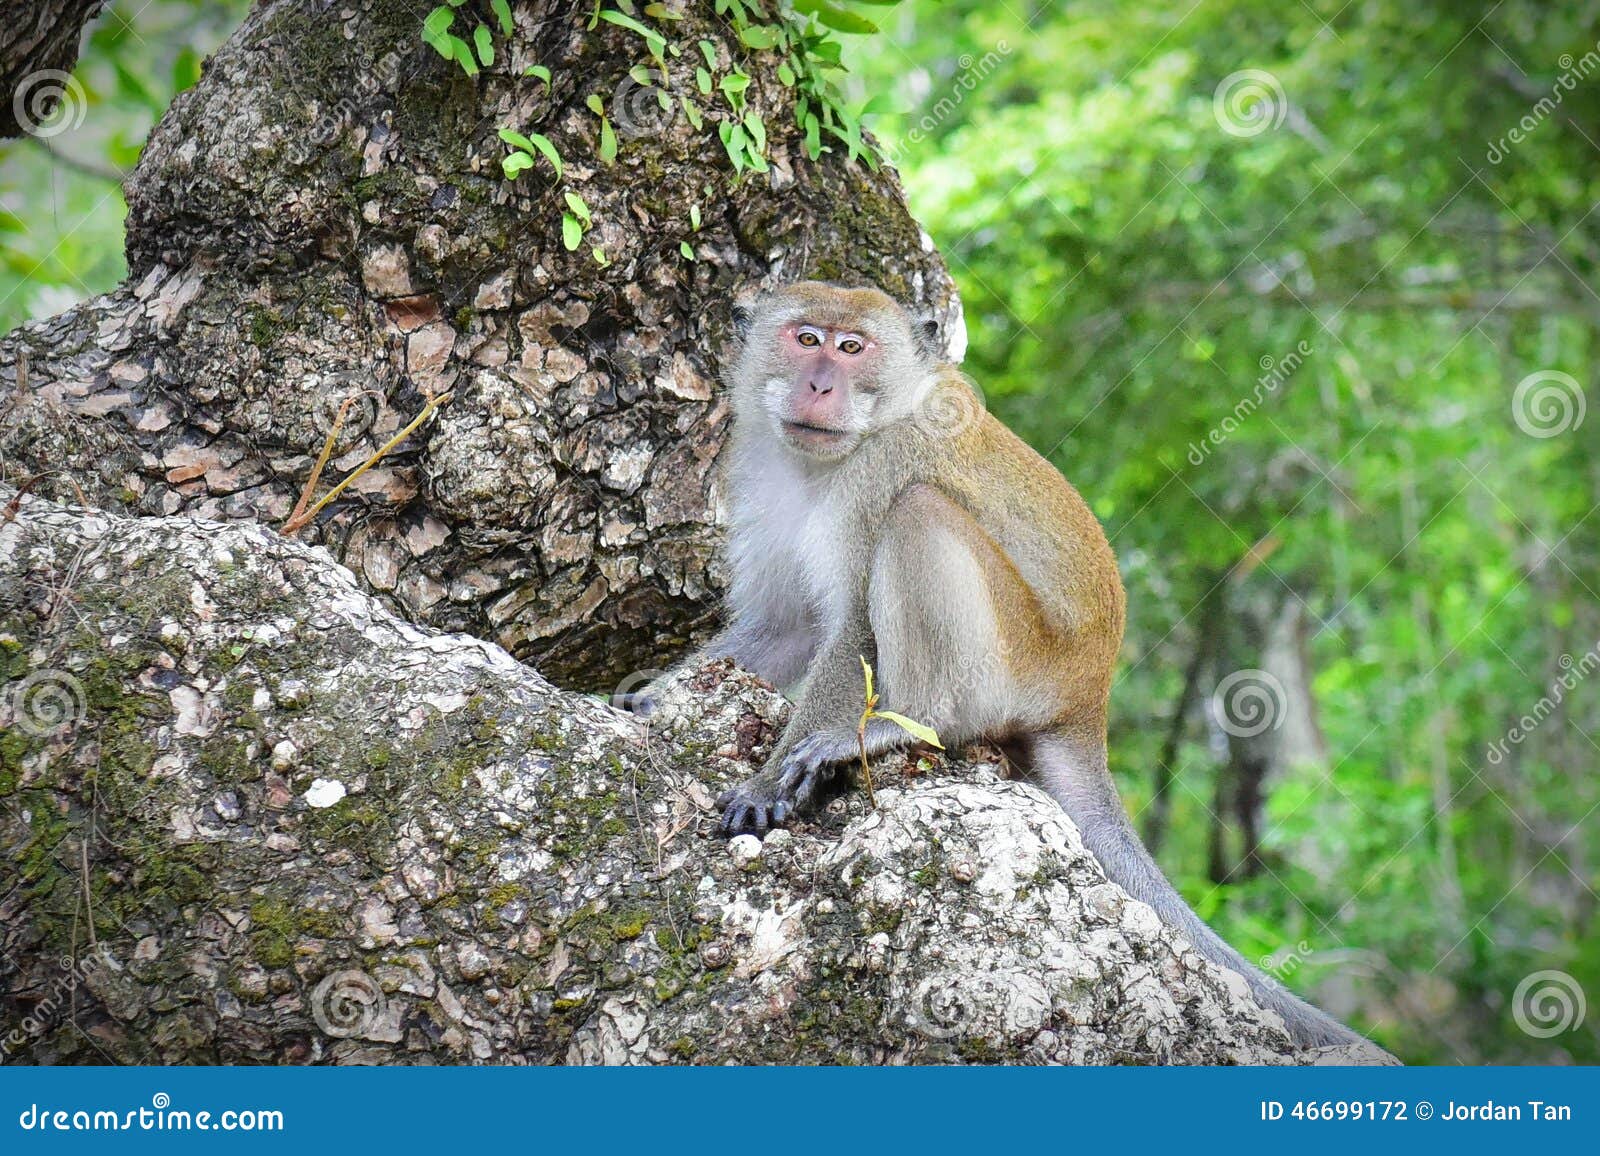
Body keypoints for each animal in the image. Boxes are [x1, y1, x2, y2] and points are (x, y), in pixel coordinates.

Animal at [624, 280, 1361, 1050]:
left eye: (852, 347)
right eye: (806, 338)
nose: (821, 384)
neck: (838, 449)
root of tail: (1087, 699)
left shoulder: (889, 462)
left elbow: (853, 627)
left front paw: (769, 778)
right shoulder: (759, 464)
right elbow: (786, 623)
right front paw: (644, 698)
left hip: (1016, 662)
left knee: (919, 513)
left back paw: (902, 725)